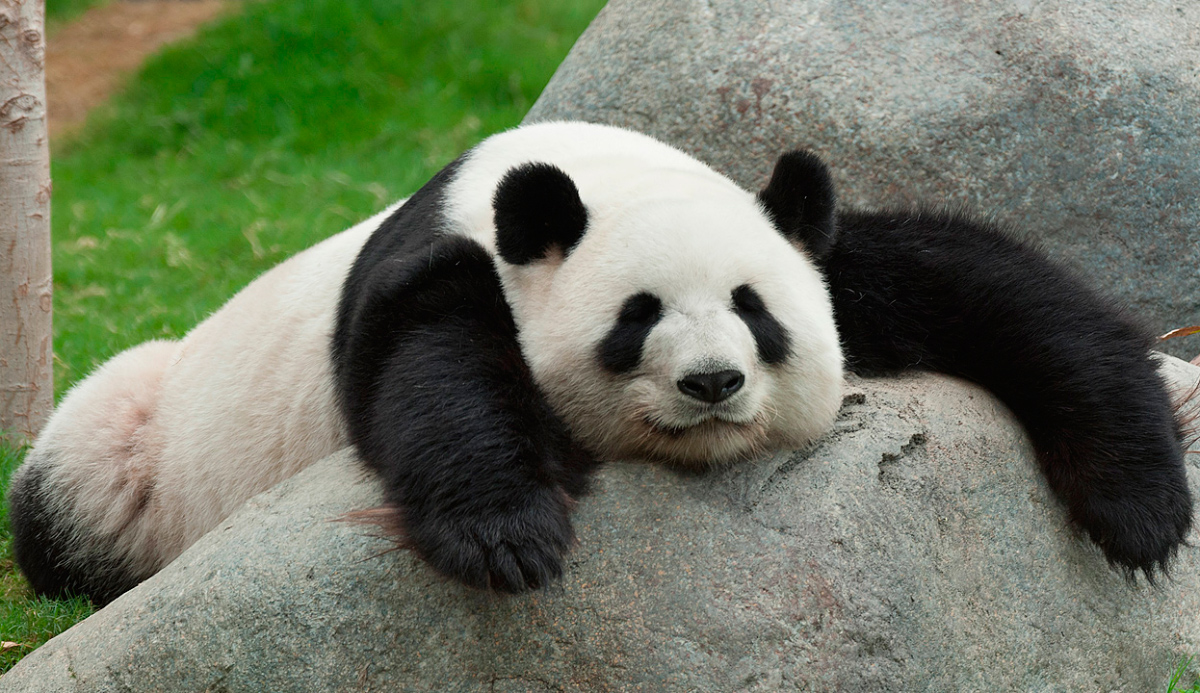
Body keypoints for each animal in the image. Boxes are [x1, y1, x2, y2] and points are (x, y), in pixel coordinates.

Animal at [8, 121, 1192, 605]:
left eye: (756, 314)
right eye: (637, 318)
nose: (712, 382)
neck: (594, 172)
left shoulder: (804, 236)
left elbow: (998, 290)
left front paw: (1141, 508)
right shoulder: (443, 263)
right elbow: (429, 367)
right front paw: (510, 535)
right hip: (136, 439)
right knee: (73, 490)